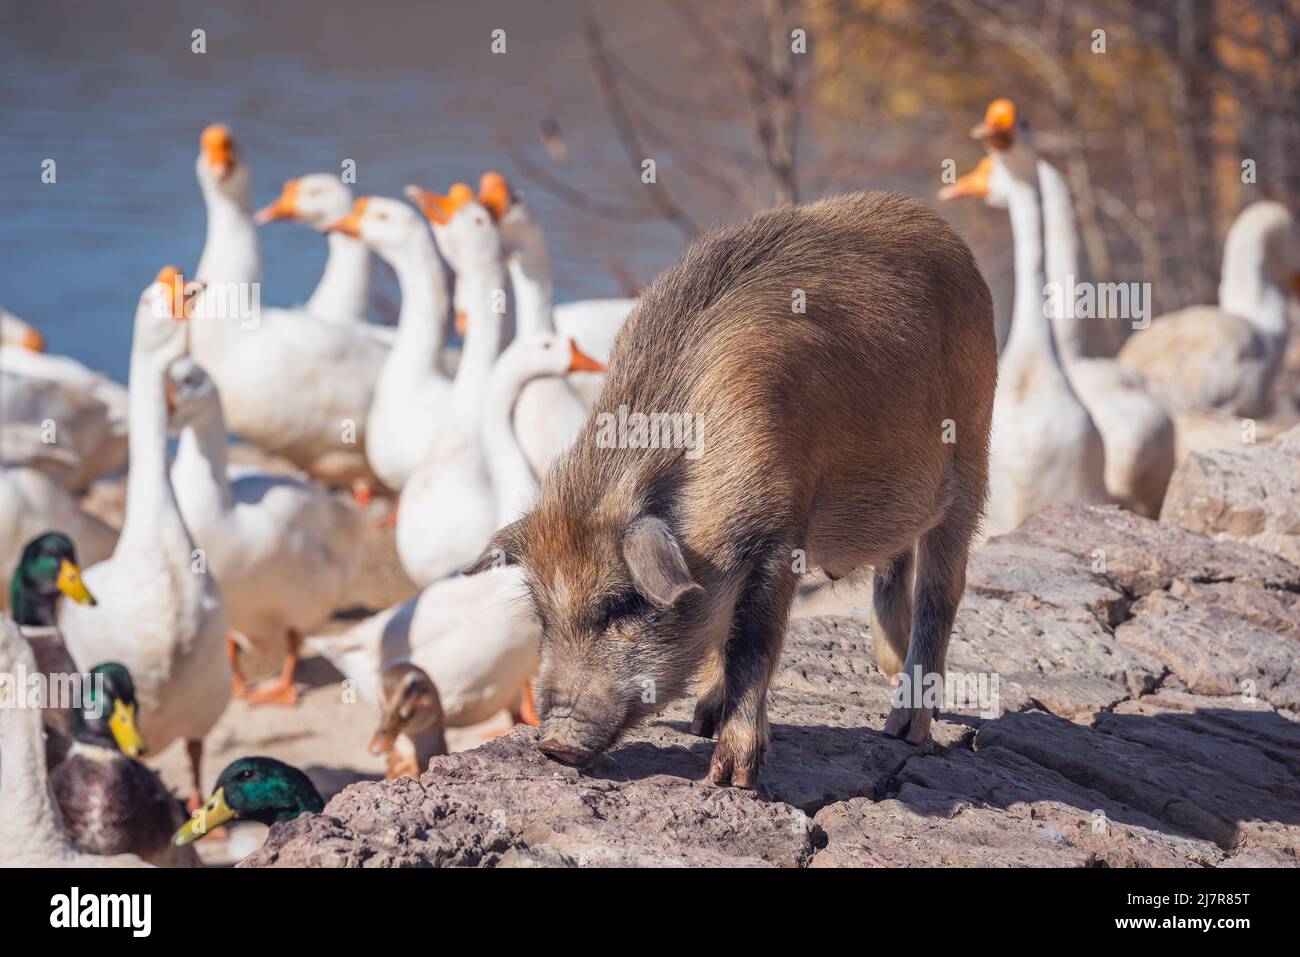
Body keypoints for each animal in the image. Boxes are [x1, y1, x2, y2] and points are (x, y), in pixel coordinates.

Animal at [465, 191, 997, 788]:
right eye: (543, 615)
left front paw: (730, 776)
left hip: (973, 455)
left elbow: (752, 641)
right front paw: (701, 722)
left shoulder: (782, 531)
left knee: (943, 590)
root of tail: (940, 229)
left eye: (625, 605)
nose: (554, 744)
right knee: (896, 558)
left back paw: (903, 730)